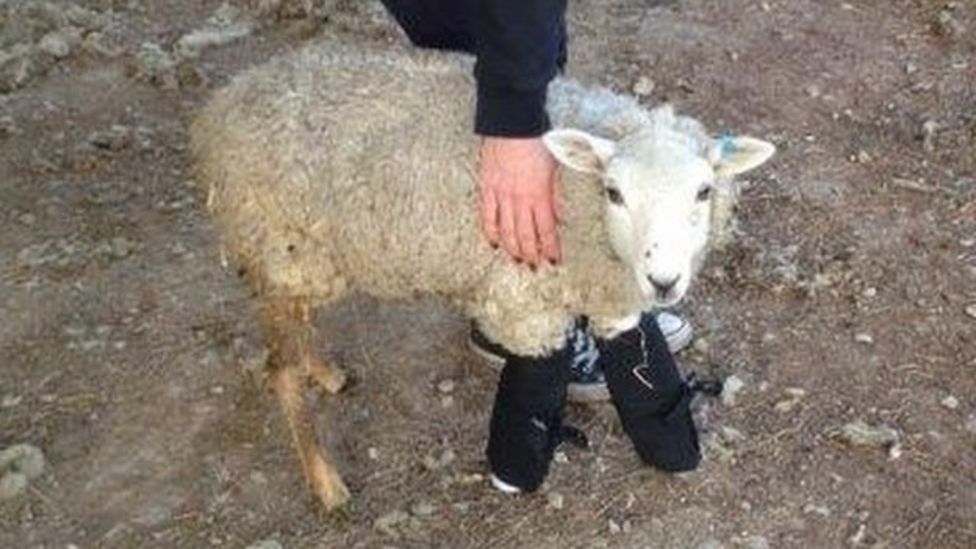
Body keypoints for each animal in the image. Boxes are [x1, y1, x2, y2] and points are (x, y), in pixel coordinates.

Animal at [190, 42, 774, 510]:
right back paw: (326, 482)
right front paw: (517, 466)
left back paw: (325, 373)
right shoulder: (522, 292)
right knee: (280, 370)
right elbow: (533, 377)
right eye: (614, 192)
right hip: (281, 246)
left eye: (703, 191)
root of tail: (221, 107)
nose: (664, 280)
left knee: (292, 338)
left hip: (300, 262)